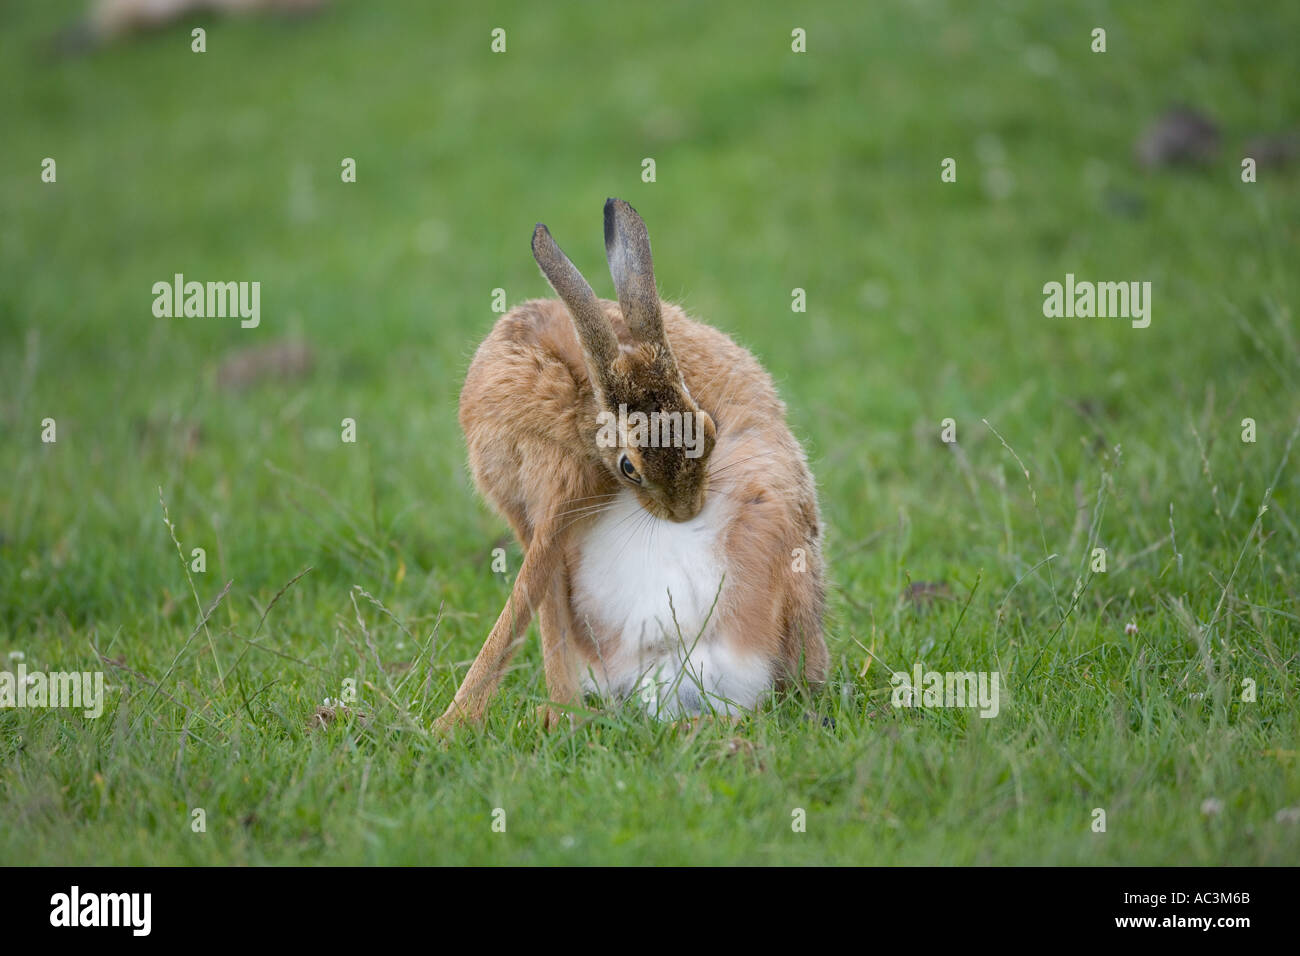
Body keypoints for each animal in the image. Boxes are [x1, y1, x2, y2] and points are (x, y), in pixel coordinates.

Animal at [435, 198, 828, 730]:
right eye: (629, 468)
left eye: (710, 431)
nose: (687, 513)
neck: (583, 392)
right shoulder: (536, 506)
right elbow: (542, 600)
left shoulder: (560, 498)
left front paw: (456, 723)